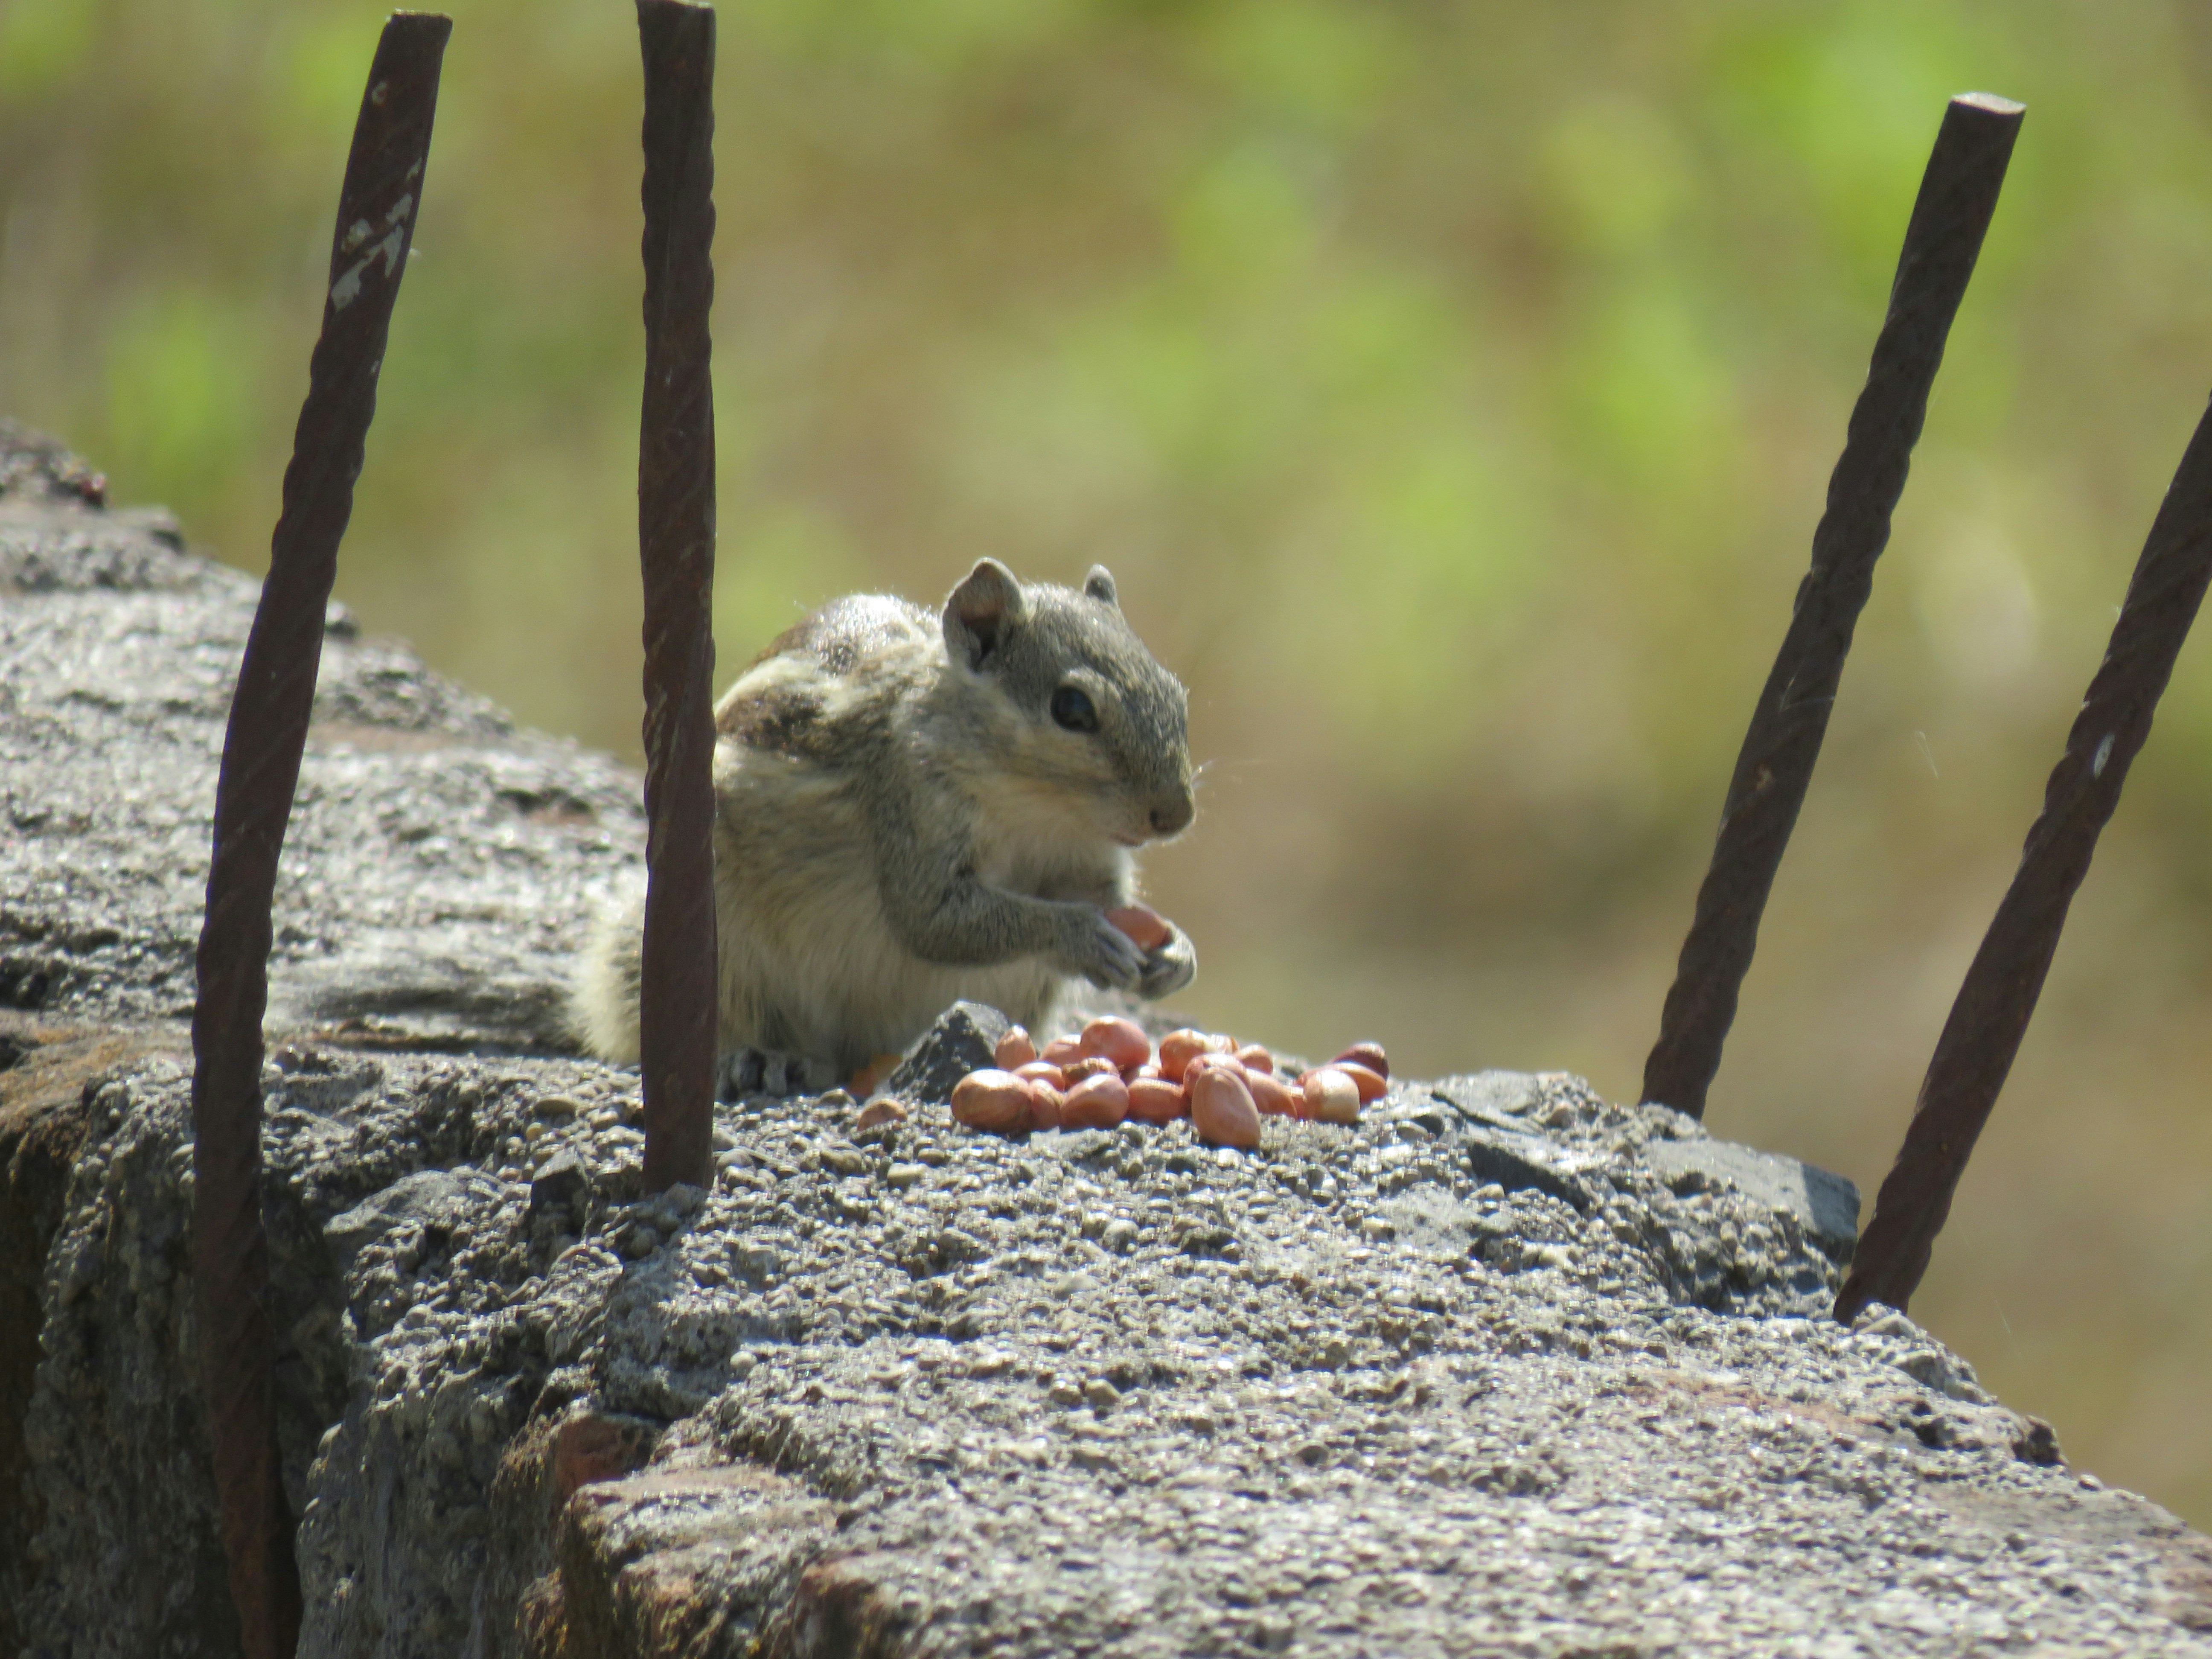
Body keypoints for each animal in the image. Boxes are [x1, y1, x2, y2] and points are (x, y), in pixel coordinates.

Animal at [571, 558, 1197, 1095]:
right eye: (1072, 708)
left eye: (1175, 692)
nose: (1177, 816)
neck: (1037, 808)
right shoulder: (909, 807)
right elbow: (934, 922)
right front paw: (1083, 936)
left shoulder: (1083, 860)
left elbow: (1103, 898)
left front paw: (1176, 953)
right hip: (711, 941)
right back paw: (761, 1058)